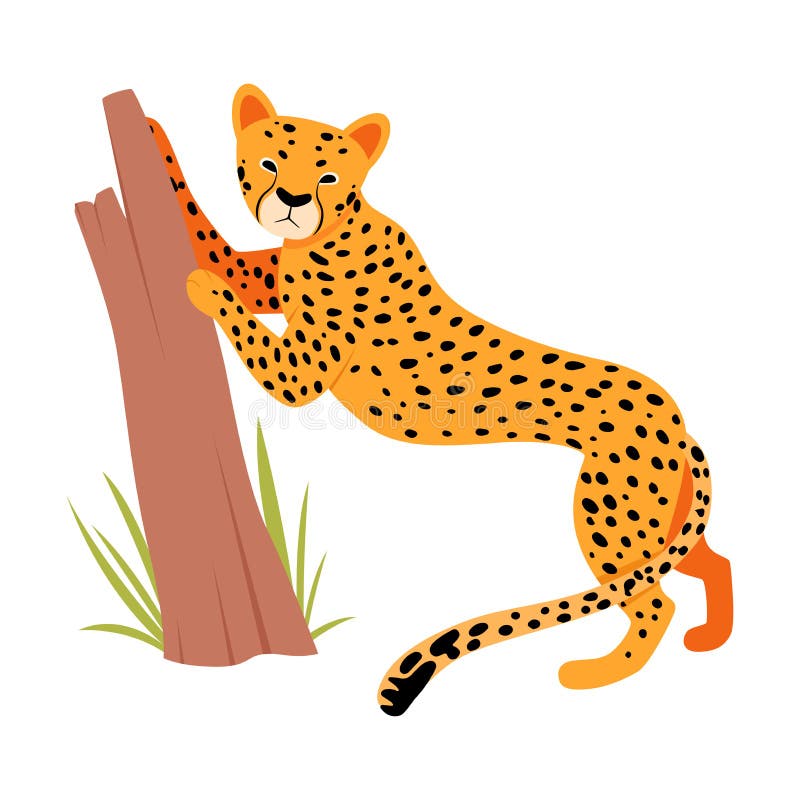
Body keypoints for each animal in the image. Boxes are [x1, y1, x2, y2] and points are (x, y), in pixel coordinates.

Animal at [147, 84, 733, 715]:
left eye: (328, 175)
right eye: (270, 162)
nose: (292, 200)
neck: (325, 232)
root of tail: (678, 420)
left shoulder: (299, 372)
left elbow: (242, 316)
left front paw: (204, 287)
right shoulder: (264, 274)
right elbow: (207, 233)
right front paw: (156, 136)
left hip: (609, 515)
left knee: (655, 602)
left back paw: (596, 674)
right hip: (660, 523)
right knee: (709, 563)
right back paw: (712, 638)